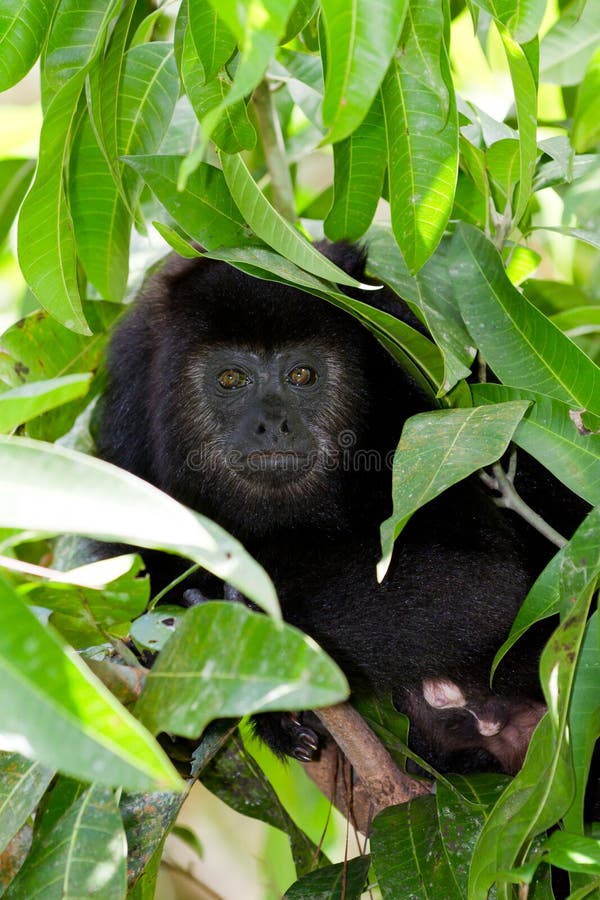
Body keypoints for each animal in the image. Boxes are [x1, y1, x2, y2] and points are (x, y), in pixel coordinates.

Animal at [96, 242, 569, 775]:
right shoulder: (133, 381)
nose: (273, 424)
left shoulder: (413, 369)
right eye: (232, 378)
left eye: (301, 375)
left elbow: (486, 581)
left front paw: (256, 629)